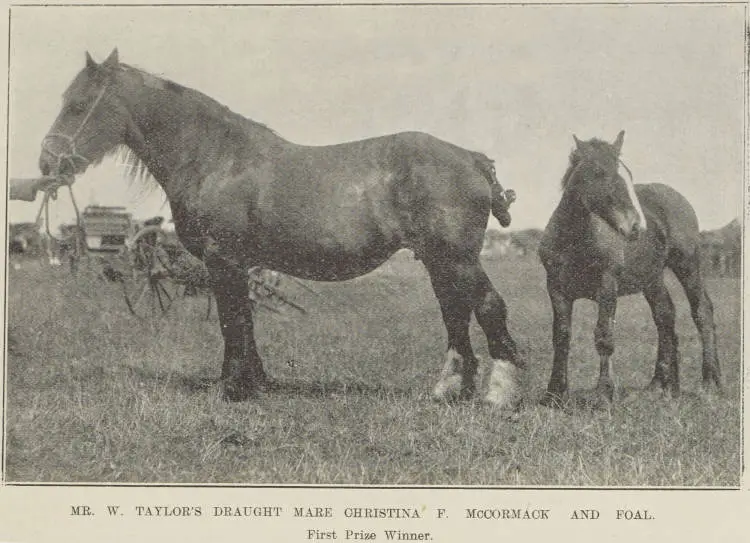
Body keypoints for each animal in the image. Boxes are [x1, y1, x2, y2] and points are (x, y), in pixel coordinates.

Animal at [38, 49, 524, 406]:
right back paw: (449, 391)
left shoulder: (223, 260)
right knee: (455, 312)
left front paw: (233, 389)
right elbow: (245, 321)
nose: (46, 163)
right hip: (439, 261)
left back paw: (499, 395)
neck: (216, 158)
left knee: (488, 307)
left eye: (78, 105)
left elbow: (233, 321)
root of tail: (471, 159)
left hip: (457, 258)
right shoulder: (239, 266)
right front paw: (255, 383)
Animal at [537, 131, 722, 407]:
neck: (574, 240)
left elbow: (604, 337)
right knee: (664, 315)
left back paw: (710, 383)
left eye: (629, 175)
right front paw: (554, 394)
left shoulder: (607, 286)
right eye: (600, 172)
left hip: (687, 265)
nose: (636, 227)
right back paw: (662, 386)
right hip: (652, 279)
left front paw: (604, 395)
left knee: (702, 312)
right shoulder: (556, 289)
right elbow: (560, 337)